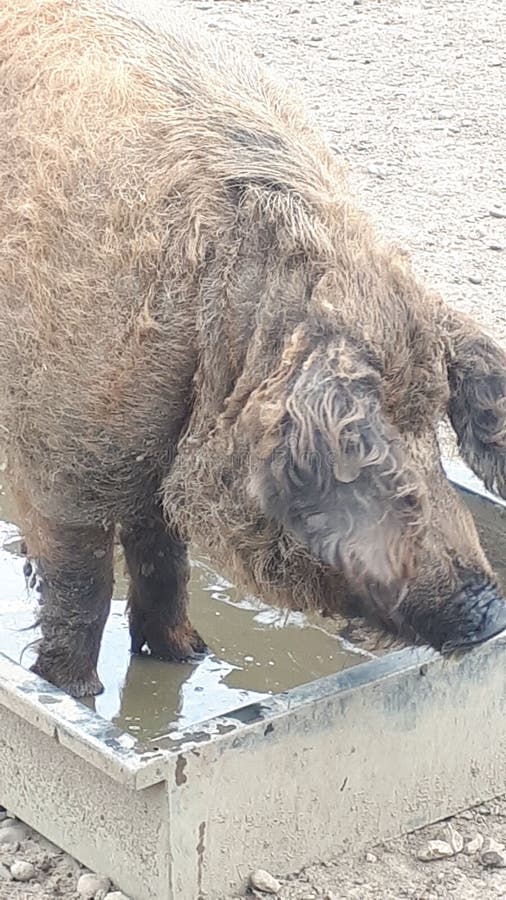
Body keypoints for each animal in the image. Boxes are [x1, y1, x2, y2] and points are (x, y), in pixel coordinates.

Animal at [0, 0, 505, 698]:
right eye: (366, 449)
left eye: (432, 420)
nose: (492, 612)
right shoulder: (63, 459)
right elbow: (85, 591)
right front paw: (77, 694)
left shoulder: (155, 463)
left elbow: (164, 558)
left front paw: (188, 656)